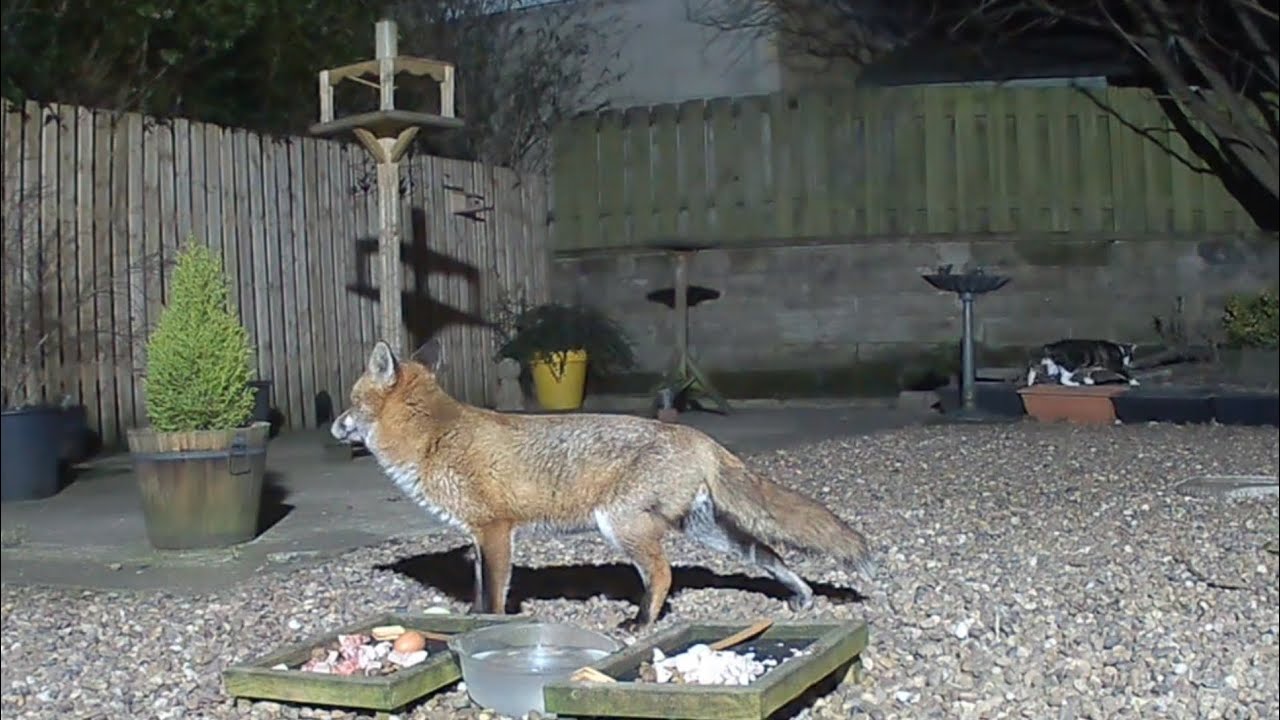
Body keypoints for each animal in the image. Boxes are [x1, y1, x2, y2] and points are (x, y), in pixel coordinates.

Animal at [331, 339, 876, 630]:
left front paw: (488, 631)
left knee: (663, 575)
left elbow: (495, 598)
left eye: (351, 402)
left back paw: (642, 622)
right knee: (769, 553)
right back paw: (801, 595)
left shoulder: (496, 529)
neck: (434, 437)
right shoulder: (480, 536)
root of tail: (696, 434)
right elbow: (480, 591)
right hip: (708, 530)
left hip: (621, 524)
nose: (334, 427)